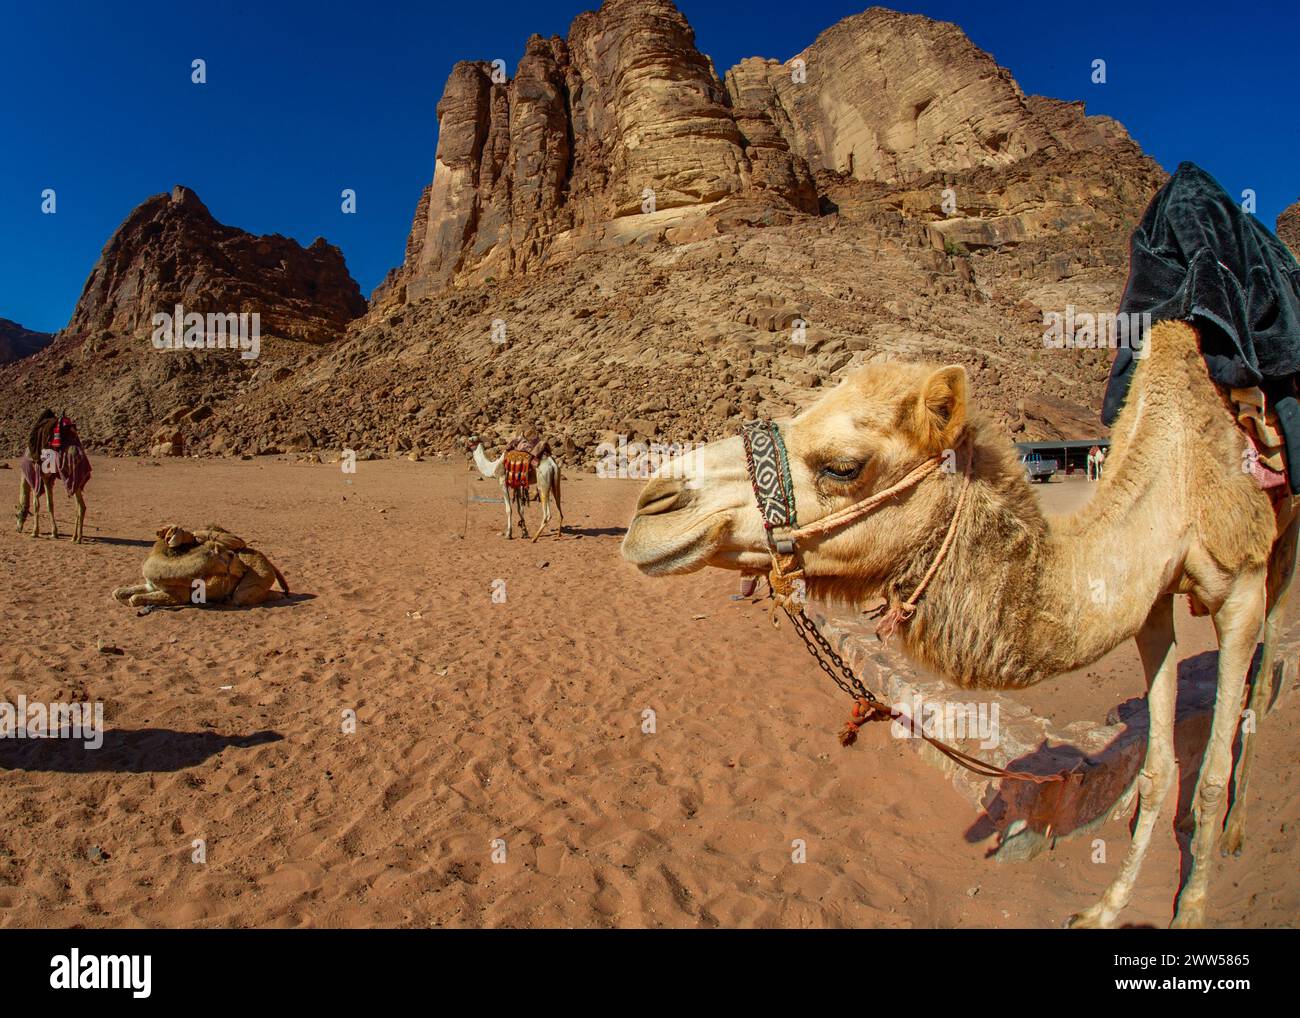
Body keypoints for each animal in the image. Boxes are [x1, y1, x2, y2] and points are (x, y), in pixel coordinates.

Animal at [15, 409, 90, 542]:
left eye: (16, 515)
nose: (18, 529)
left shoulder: (38, 476)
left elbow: (37, 504)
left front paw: (35, 532)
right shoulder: (49, 478)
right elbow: (50, 503)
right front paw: (54, 532)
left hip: (72, 477)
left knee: (81, 506)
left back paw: (77, 539)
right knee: (80, 506)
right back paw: (75, 537)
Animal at [113, 524, 290, 608]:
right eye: (230, 555)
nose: (243, 568)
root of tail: (268, 563)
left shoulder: (180, 595)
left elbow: (135, 598)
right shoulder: (150, 586)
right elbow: (118, 592)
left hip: (254, 582)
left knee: (241, 597)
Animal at [622, 319, 1296, 929]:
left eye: (843, 466)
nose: (651, 506)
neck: (1174, 488)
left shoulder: (1239, 587)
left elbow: (1208, 771)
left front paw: (1190, 913)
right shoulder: (1149, 606)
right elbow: (1157, 771)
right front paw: (1103, 910)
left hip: (1280, 560)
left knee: (1266, 675)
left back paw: (1234, 831)